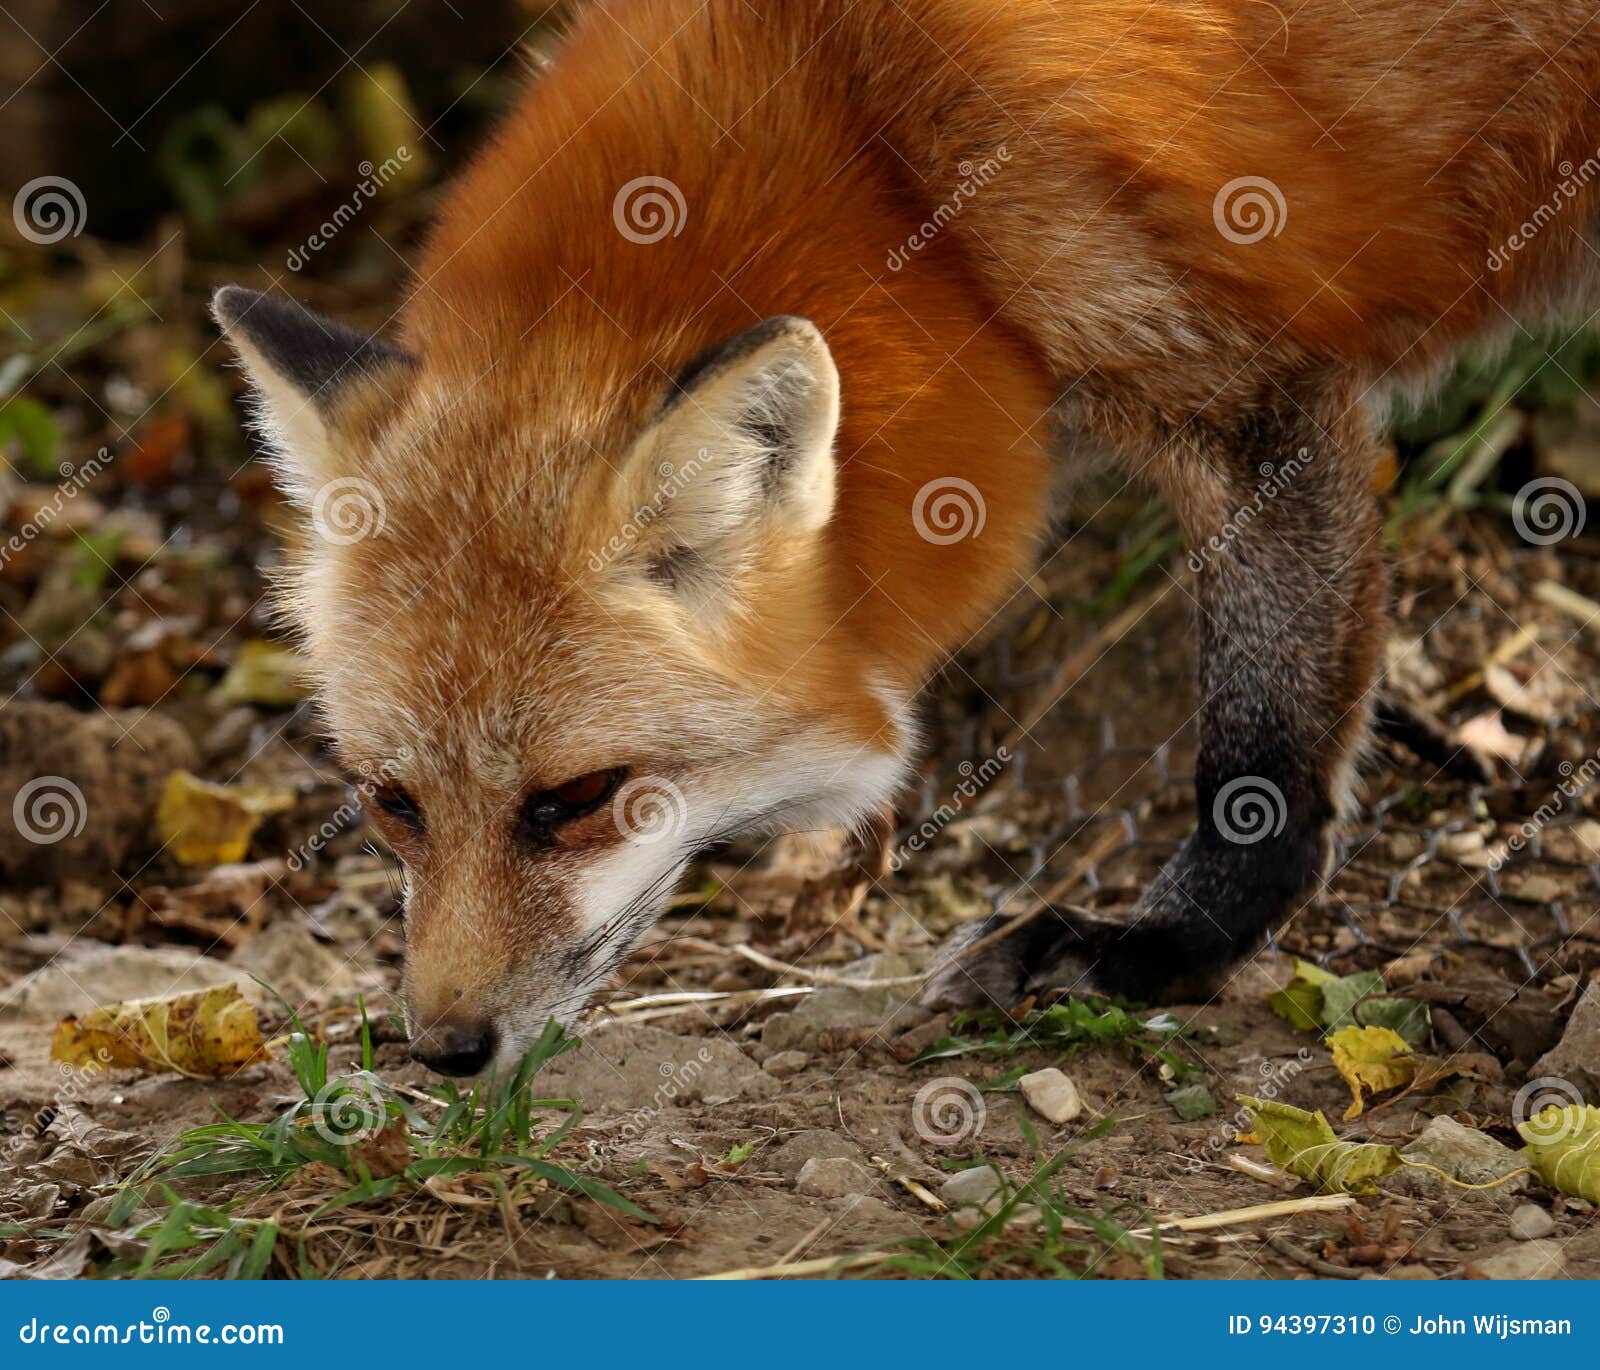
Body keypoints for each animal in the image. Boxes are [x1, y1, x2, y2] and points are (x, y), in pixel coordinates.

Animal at [214, 0, 1600, 1076]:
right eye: (391, 803)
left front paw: (1164, 949)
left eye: (574, 801)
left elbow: (1259, 743)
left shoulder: (1254, 396)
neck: (870, 125)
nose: (445, 1051)